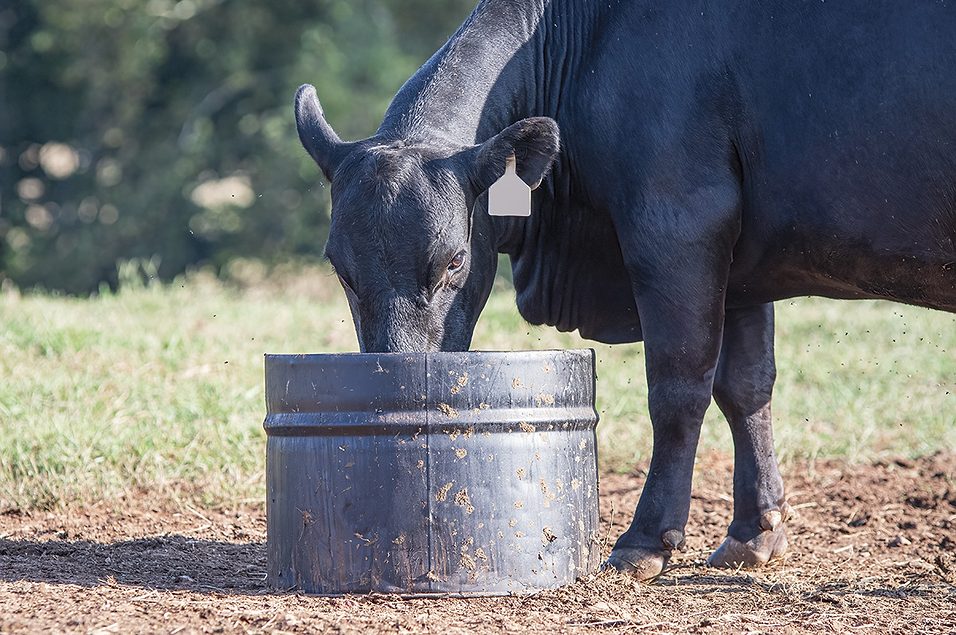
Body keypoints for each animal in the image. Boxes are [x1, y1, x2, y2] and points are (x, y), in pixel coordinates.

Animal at [294, 0, 956, 580]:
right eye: (341, 270)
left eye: (454, 262)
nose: (397, 372)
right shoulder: (741, 267)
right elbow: (746, 387)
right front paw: (753, 533)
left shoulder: (679, 225)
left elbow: (678, 389)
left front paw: (645, 541)